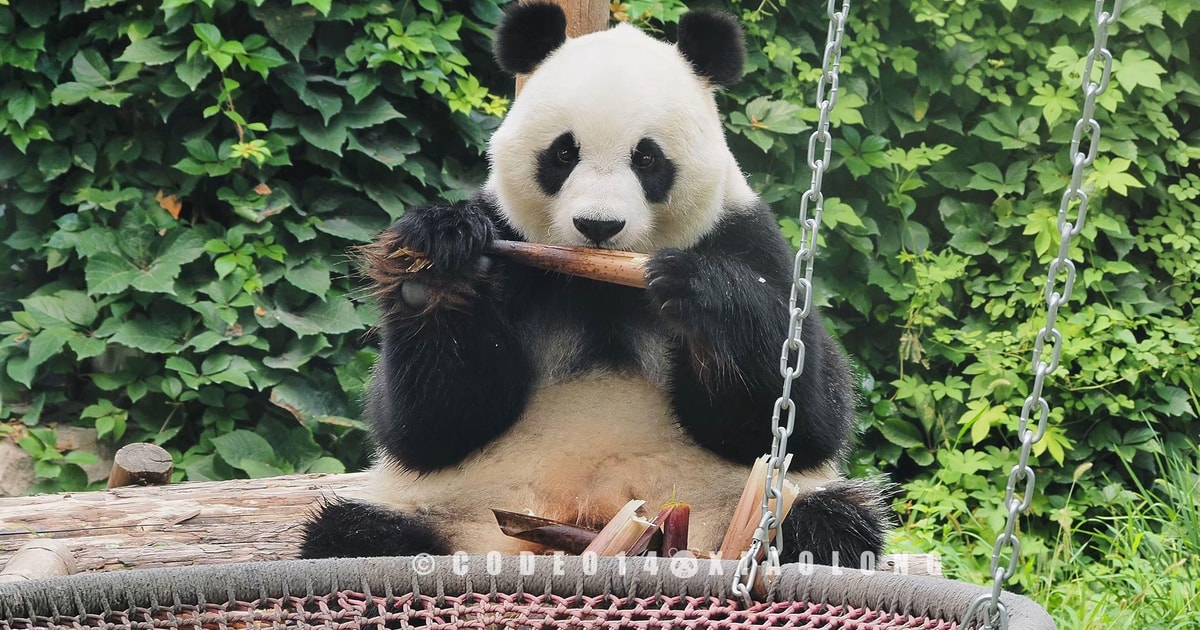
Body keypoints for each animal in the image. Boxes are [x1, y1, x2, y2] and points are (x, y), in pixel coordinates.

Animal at [299, 1, 889, 567]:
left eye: (647, 157)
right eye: (564, 153)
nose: (598, 226)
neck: (602, 284)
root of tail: (588, 528)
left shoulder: (747, 239)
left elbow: (805, 418)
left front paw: (697, 291)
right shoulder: (509, 239)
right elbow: (429, 428)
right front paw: (441, 264)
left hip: (726, 509)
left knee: (829, 520)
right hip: (455, 514)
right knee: (354, 532)